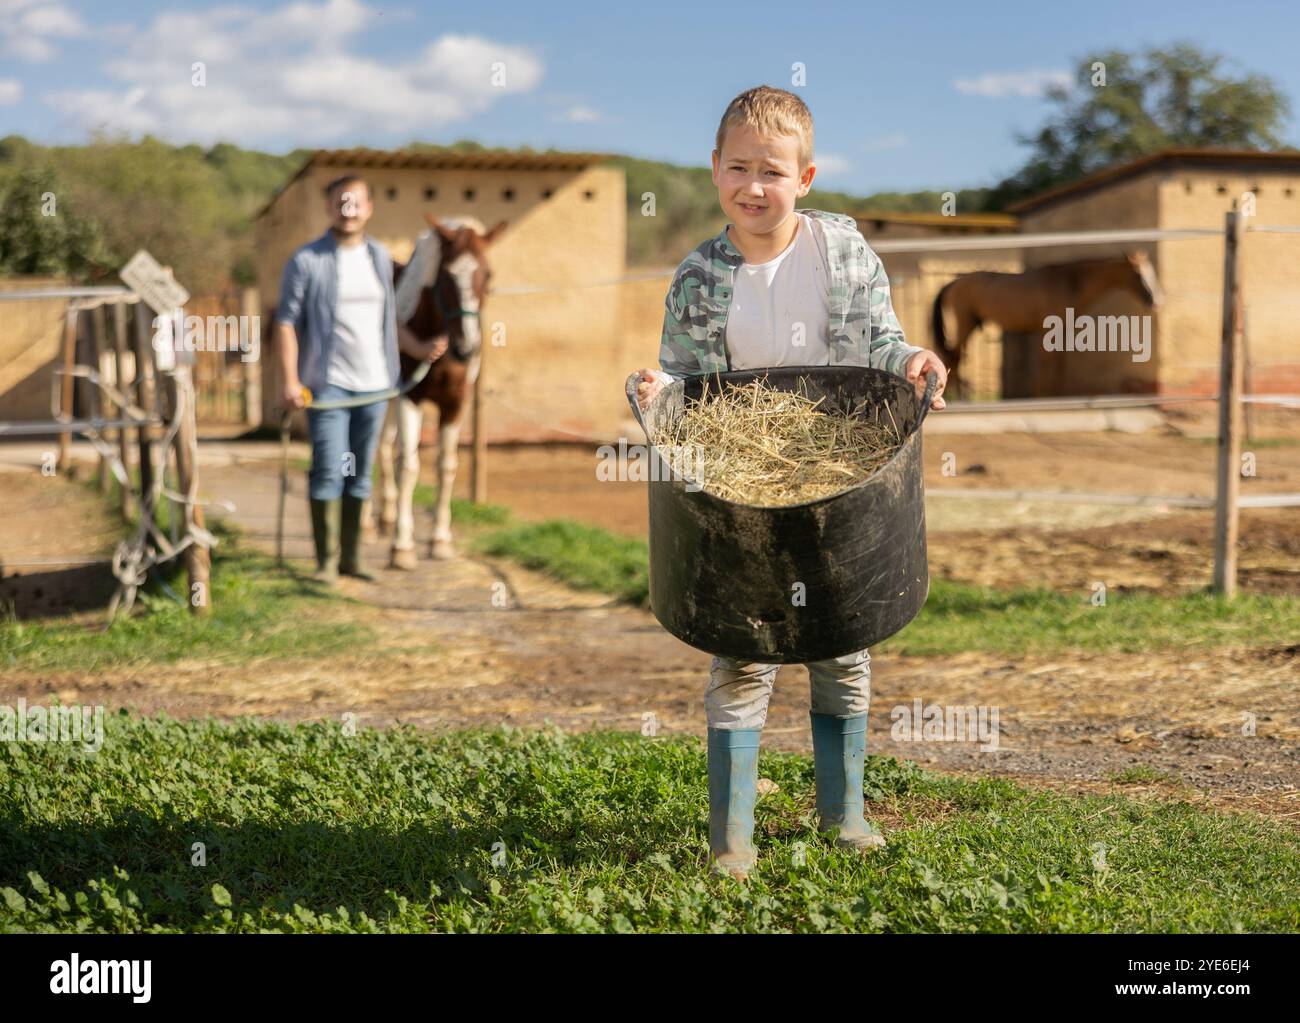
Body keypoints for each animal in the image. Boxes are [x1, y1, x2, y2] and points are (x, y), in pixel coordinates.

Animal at [367, 213, 506, 568]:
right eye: (446, 275)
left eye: (488, 274)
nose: (466, 349)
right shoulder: (410, 399)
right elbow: (409, 466)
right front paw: (402, 547)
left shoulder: (455, 403)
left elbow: (447, 465)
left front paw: (440, 540)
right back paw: (368, 525)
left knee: (383, 448)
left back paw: (386, 517)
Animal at [931, 251, 1162, 396]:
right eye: (1137, 274)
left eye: (1152, 271)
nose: (1156, 301)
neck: (1069, 282)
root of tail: (953, 283)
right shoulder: (1048, 331)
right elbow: (1045, 368)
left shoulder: (1061, 333)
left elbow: (1058, 367)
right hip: (965, 324)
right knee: (953, 356)